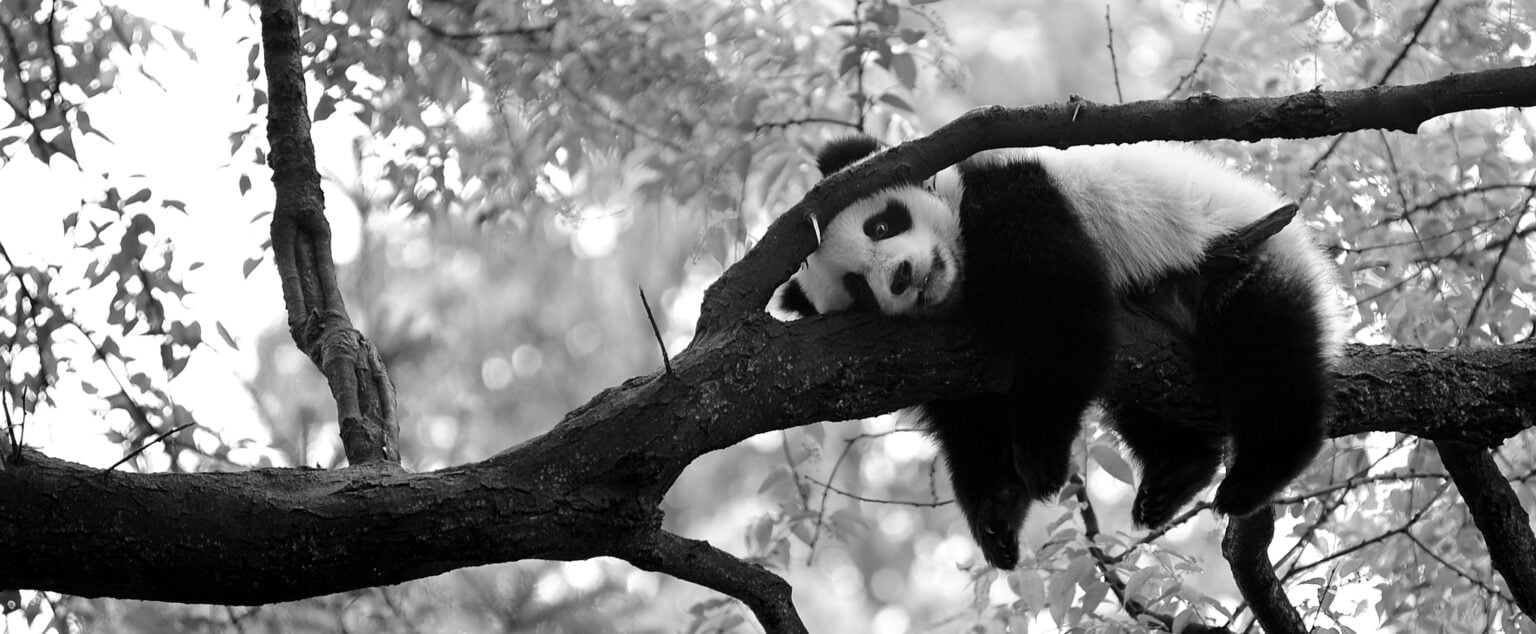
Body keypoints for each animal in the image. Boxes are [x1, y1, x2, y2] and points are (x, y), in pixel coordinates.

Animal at [777, 135, 1340, 570]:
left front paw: (1041, 460)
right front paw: (997, 514)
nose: (900, 276)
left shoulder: (1010, 197)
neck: (960, 278)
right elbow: (972, 420)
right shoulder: (940, 353)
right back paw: (1175, 473)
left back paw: (1256, 472)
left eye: (880, 225)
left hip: (1247, 257)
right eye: (858, 289)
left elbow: (1064, 315)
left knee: (1266, 351)